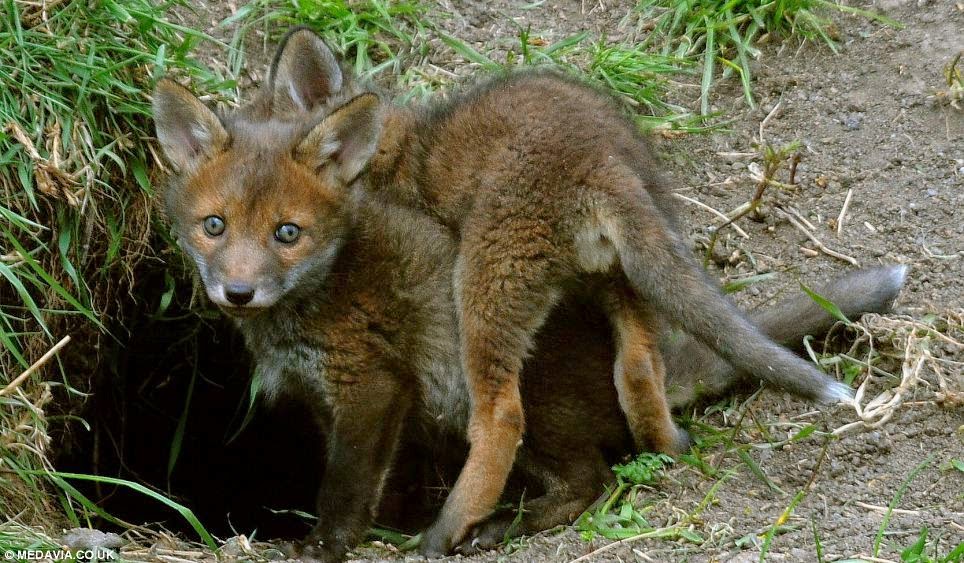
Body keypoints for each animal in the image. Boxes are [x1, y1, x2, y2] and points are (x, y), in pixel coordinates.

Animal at [151, 29, 905, 560]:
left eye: (287, 232)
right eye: (214, 226)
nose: (238, 291)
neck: (404, 150)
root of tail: (604, 163)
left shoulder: (372, 384)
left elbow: (347, 482)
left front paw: (325, 544)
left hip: (487, 293)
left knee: (519, 429)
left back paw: (455, 528)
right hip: (615, 274)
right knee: (638, 367)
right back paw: (660, 442)